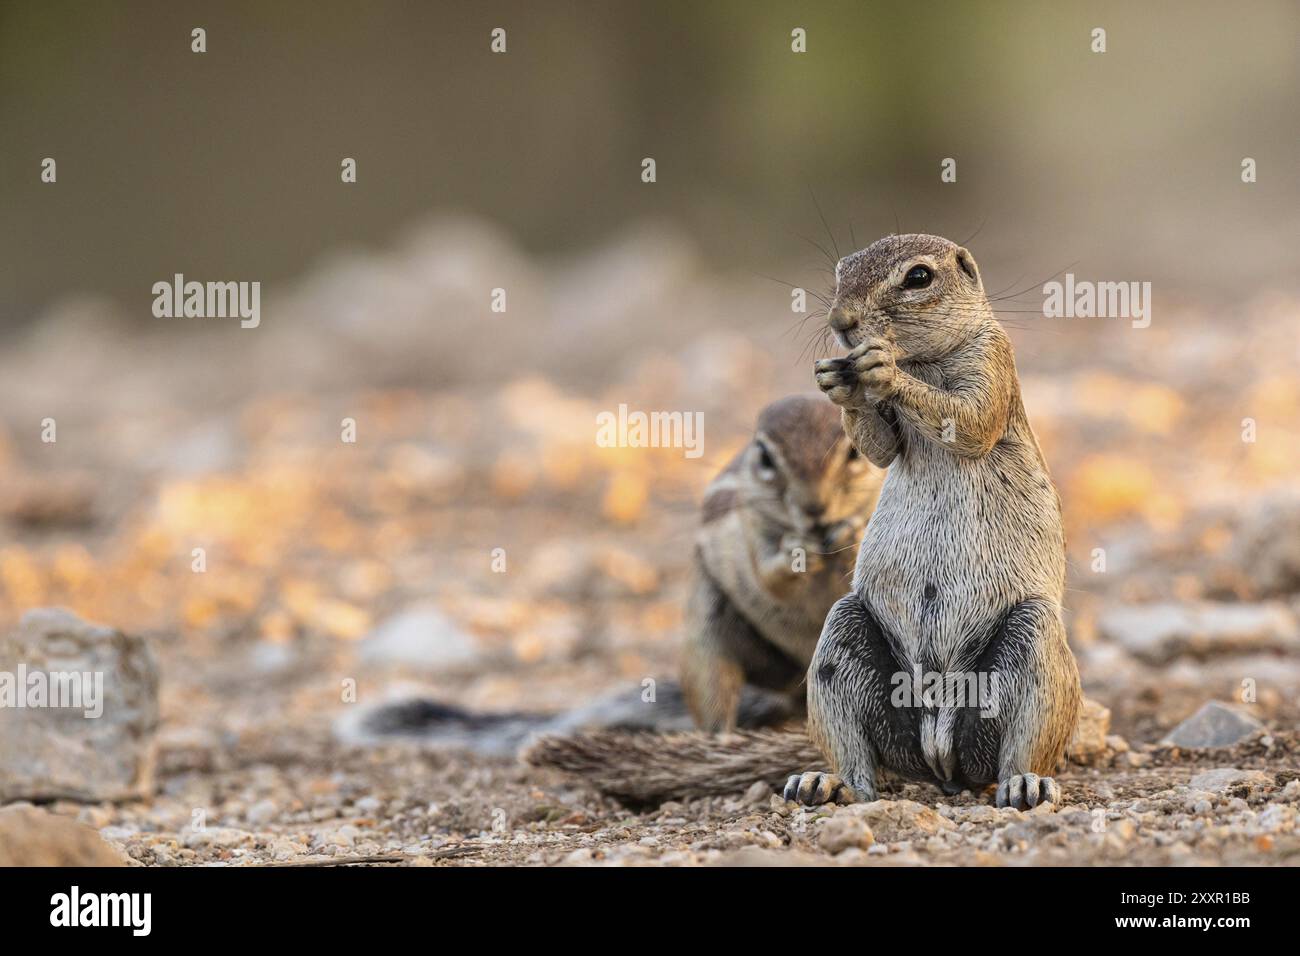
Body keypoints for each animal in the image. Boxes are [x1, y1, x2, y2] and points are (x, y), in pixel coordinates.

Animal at [335, 395, 882, 751]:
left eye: (853, 452)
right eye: (765, 457)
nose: (815, 511)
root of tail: (794, 687)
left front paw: (850, 531)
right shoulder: (747, 529)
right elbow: (770, 574)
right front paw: (797, 548)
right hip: (709, 639)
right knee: (715, 694)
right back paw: (723, 739)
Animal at [528, 234, 1082, 811]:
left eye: (919, 277)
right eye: (841, 271)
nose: (841, 321)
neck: (923, 360)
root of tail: (939, 751)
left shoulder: (992, 363)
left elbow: (970, 420)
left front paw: (882, 369)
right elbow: (882, 449)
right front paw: (840, 384)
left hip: (1031, 645)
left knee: (1021, 747)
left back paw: (1024, 783)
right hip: (843, 634)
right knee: (860, 762)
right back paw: (827, 782)